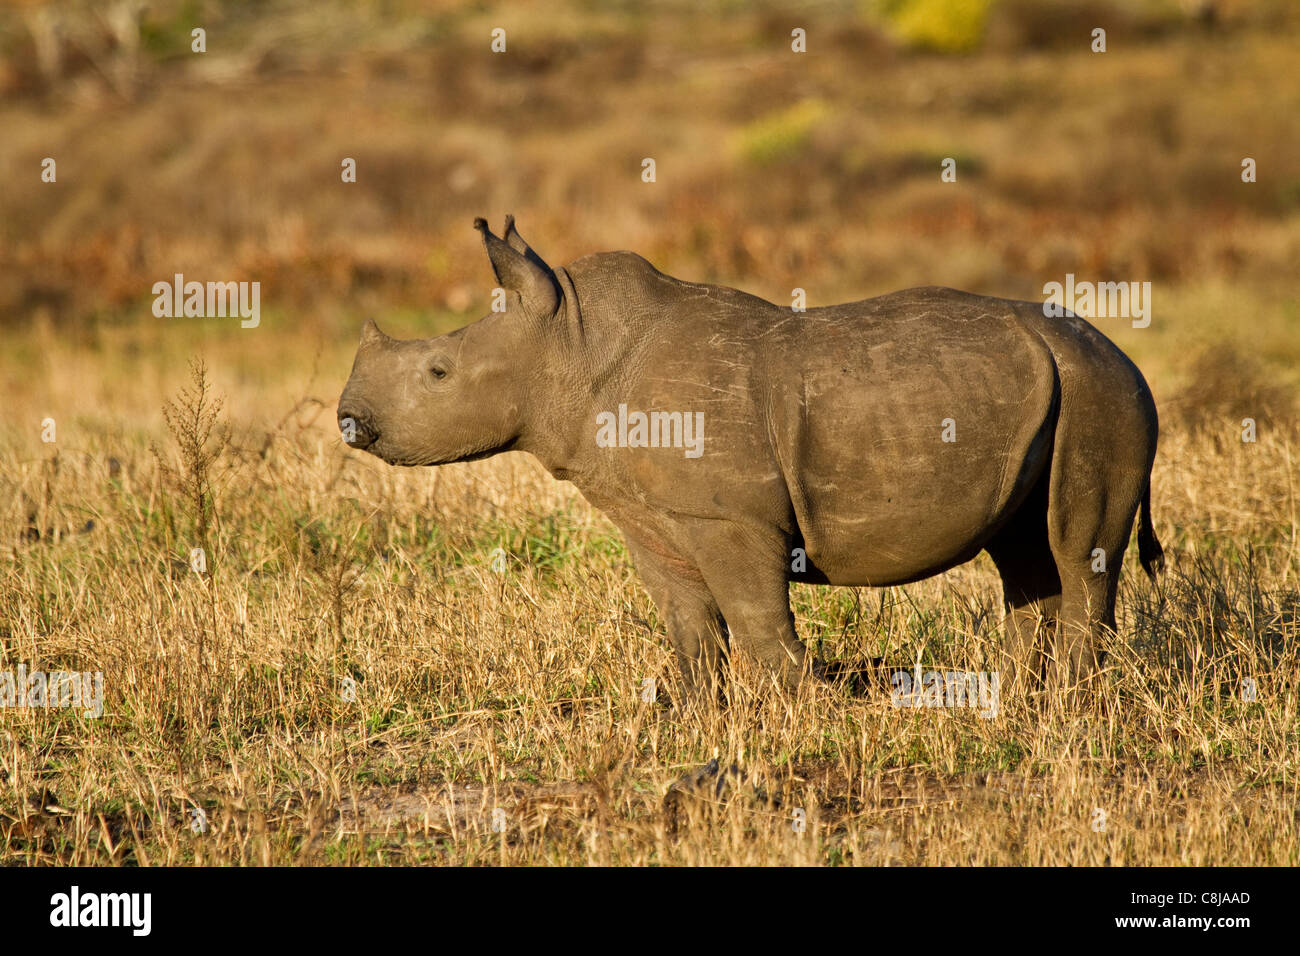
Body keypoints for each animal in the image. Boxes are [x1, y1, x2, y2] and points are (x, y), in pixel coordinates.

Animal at [338, 216, 1163, 703]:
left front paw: (808, 714)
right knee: (1024, 552)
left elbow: (756, 616)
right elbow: (689, 622)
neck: (569, 345)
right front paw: (701, 716)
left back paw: (1072, 710)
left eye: (438, 372)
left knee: (1077, 550)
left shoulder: (730, 516)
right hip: (1061, 390)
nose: (350, 420)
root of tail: (1119, 354)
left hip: (1102, 390)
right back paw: (1019, 704)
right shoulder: (654, 514)